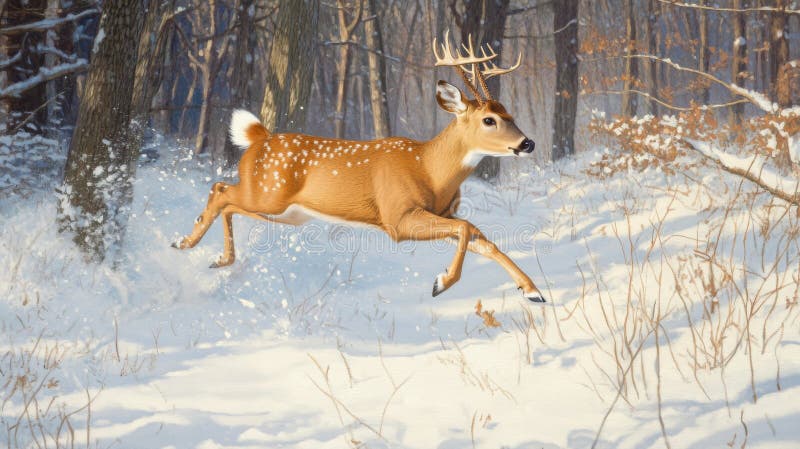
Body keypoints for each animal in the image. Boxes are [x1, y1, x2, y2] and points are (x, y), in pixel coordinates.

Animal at [172, 32, 546, 302]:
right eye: (489, 120)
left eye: (509, 113)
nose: (528, 143)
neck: (430, 170)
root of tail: (258, 137)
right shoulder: (397, 217)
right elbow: (467, 228)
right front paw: (440, 282)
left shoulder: (443, 213)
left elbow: (482, 238)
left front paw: (533, 291)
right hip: (267, 193)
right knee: (220, 189)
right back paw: (184, 244)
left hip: (290, 213)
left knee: (228, 202)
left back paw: (217, 259)